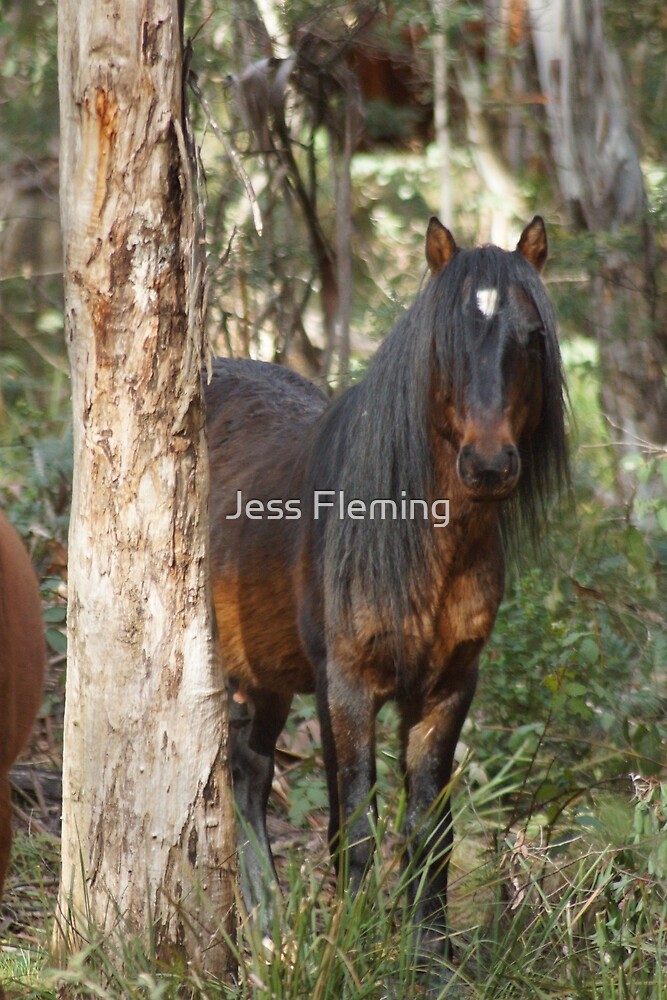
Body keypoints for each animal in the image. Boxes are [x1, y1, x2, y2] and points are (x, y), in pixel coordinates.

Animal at [205, 216, 568, 957]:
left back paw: (269, 931)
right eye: (444, 337)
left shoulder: (447, 688)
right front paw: (351, 951)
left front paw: (429, 957)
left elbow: (429, 829)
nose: (489, 464)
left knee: (250, 774)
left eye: (532, 336)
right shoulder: (344, 686)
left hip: (265, 676)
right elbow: (354, 828)